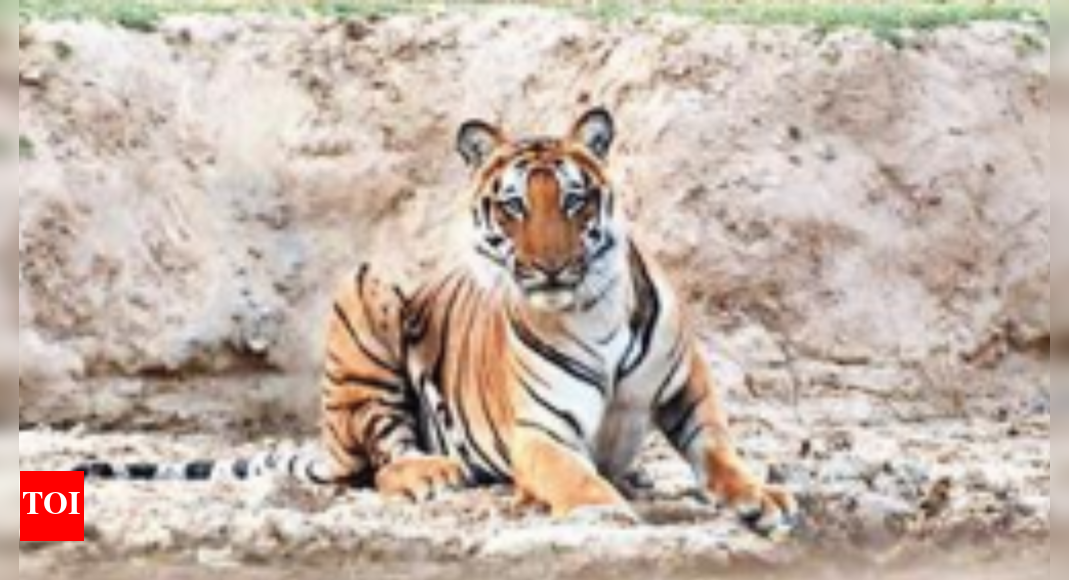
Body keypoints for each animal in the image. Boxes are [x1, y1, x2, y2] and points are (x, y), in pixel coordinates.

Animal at [75, 108, 798, 537]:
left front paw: (761, 496)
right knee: (381, 463)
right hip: (366, 299)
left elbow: (719, 451)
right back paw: (434, 473)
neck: (593, 309)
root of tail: (328, 443)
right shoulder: (542, 433)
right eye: (513, 205)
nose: (551, 268)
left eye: (573, 199)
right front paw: (599, 511)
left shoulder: (688, 392)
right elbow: (573, 477)